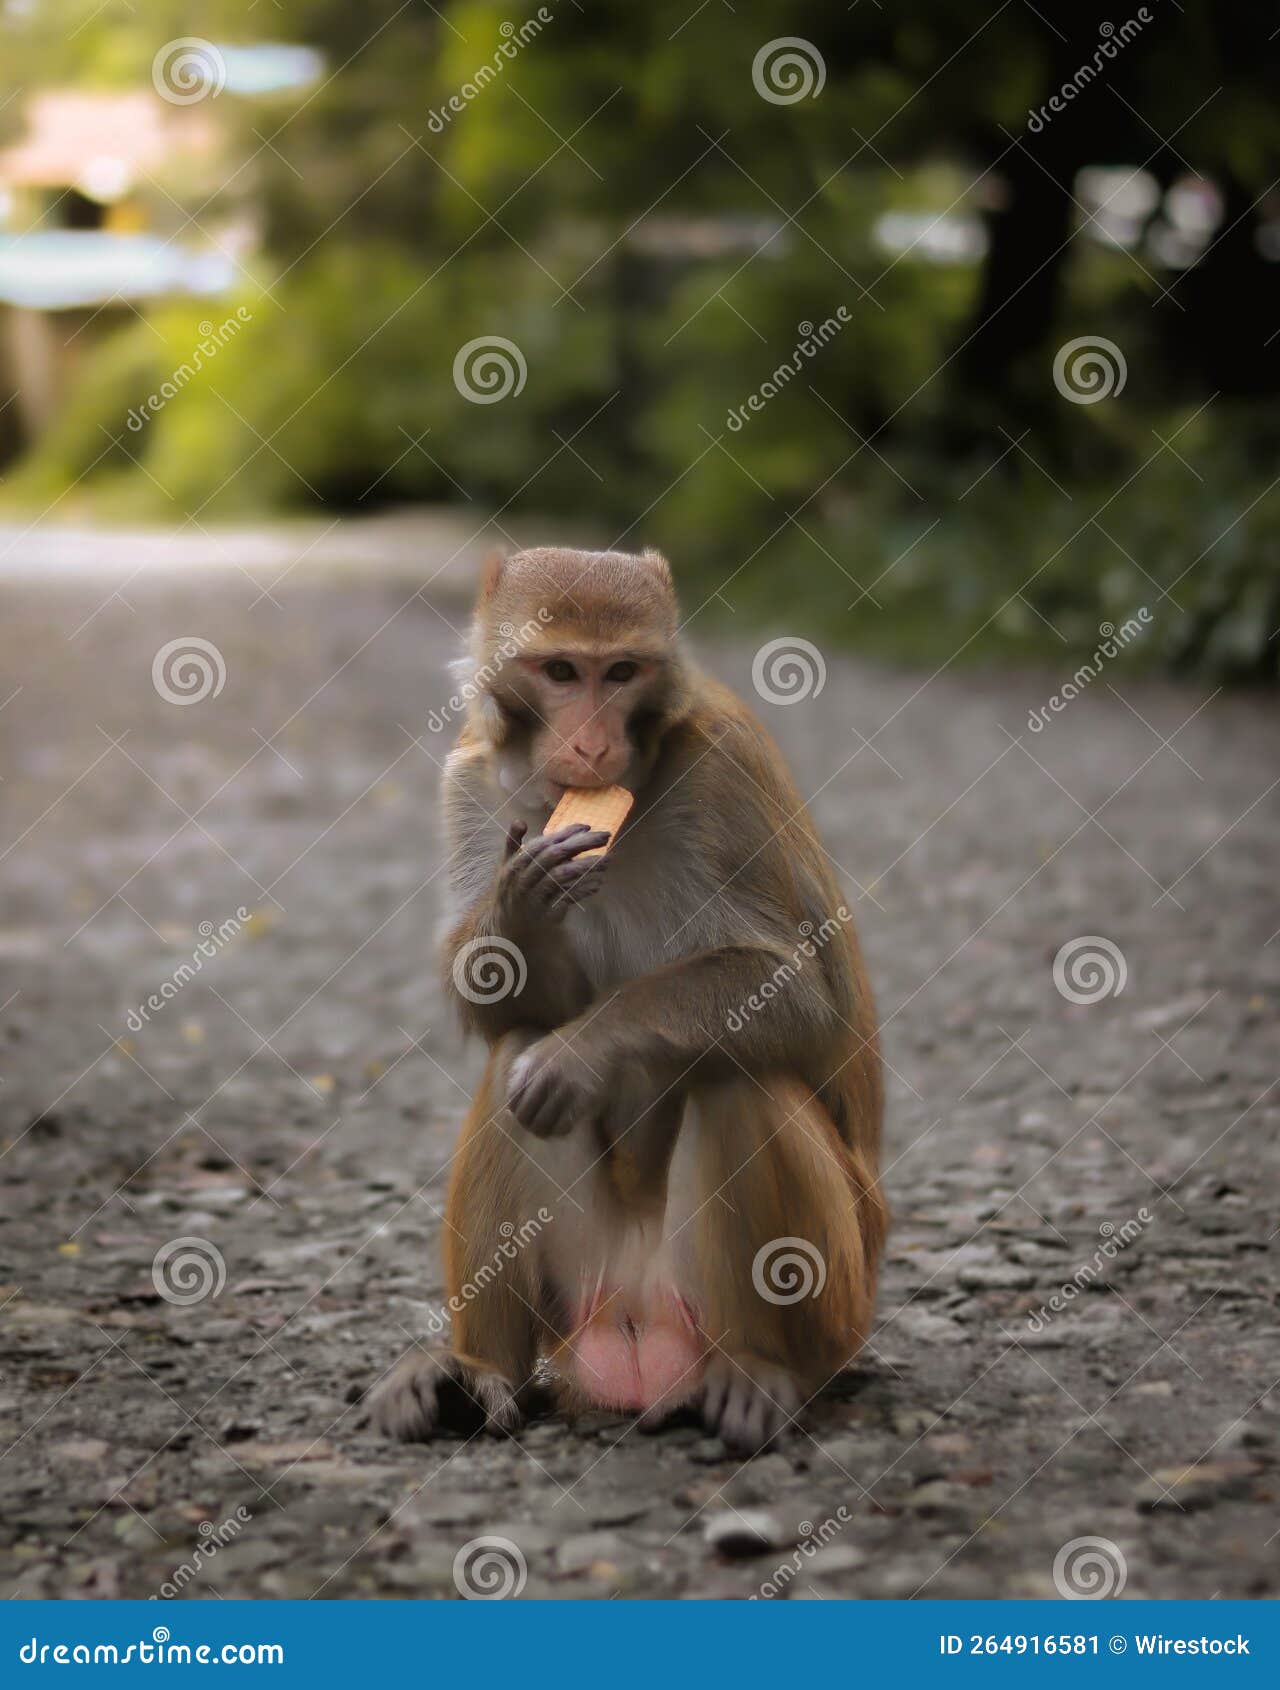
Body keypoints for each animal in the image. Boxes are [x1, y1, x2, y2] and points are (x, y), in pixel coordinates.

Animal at [369, 546, 887, 1454]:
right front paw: (521, 908)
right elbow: (502, 1005)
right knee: (516, 1060)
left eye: (621, 672)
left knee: (740, 1078)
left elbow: (805, 997)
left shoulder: (726, 773)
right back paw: (480, 1374)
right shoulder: (469, 780)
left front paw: (586, 1050)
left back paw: (763, 1373)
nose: (591, 739)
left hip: (834, 1303)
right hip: (586, 1294)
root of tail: (641, 1347)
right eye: (561, 671)